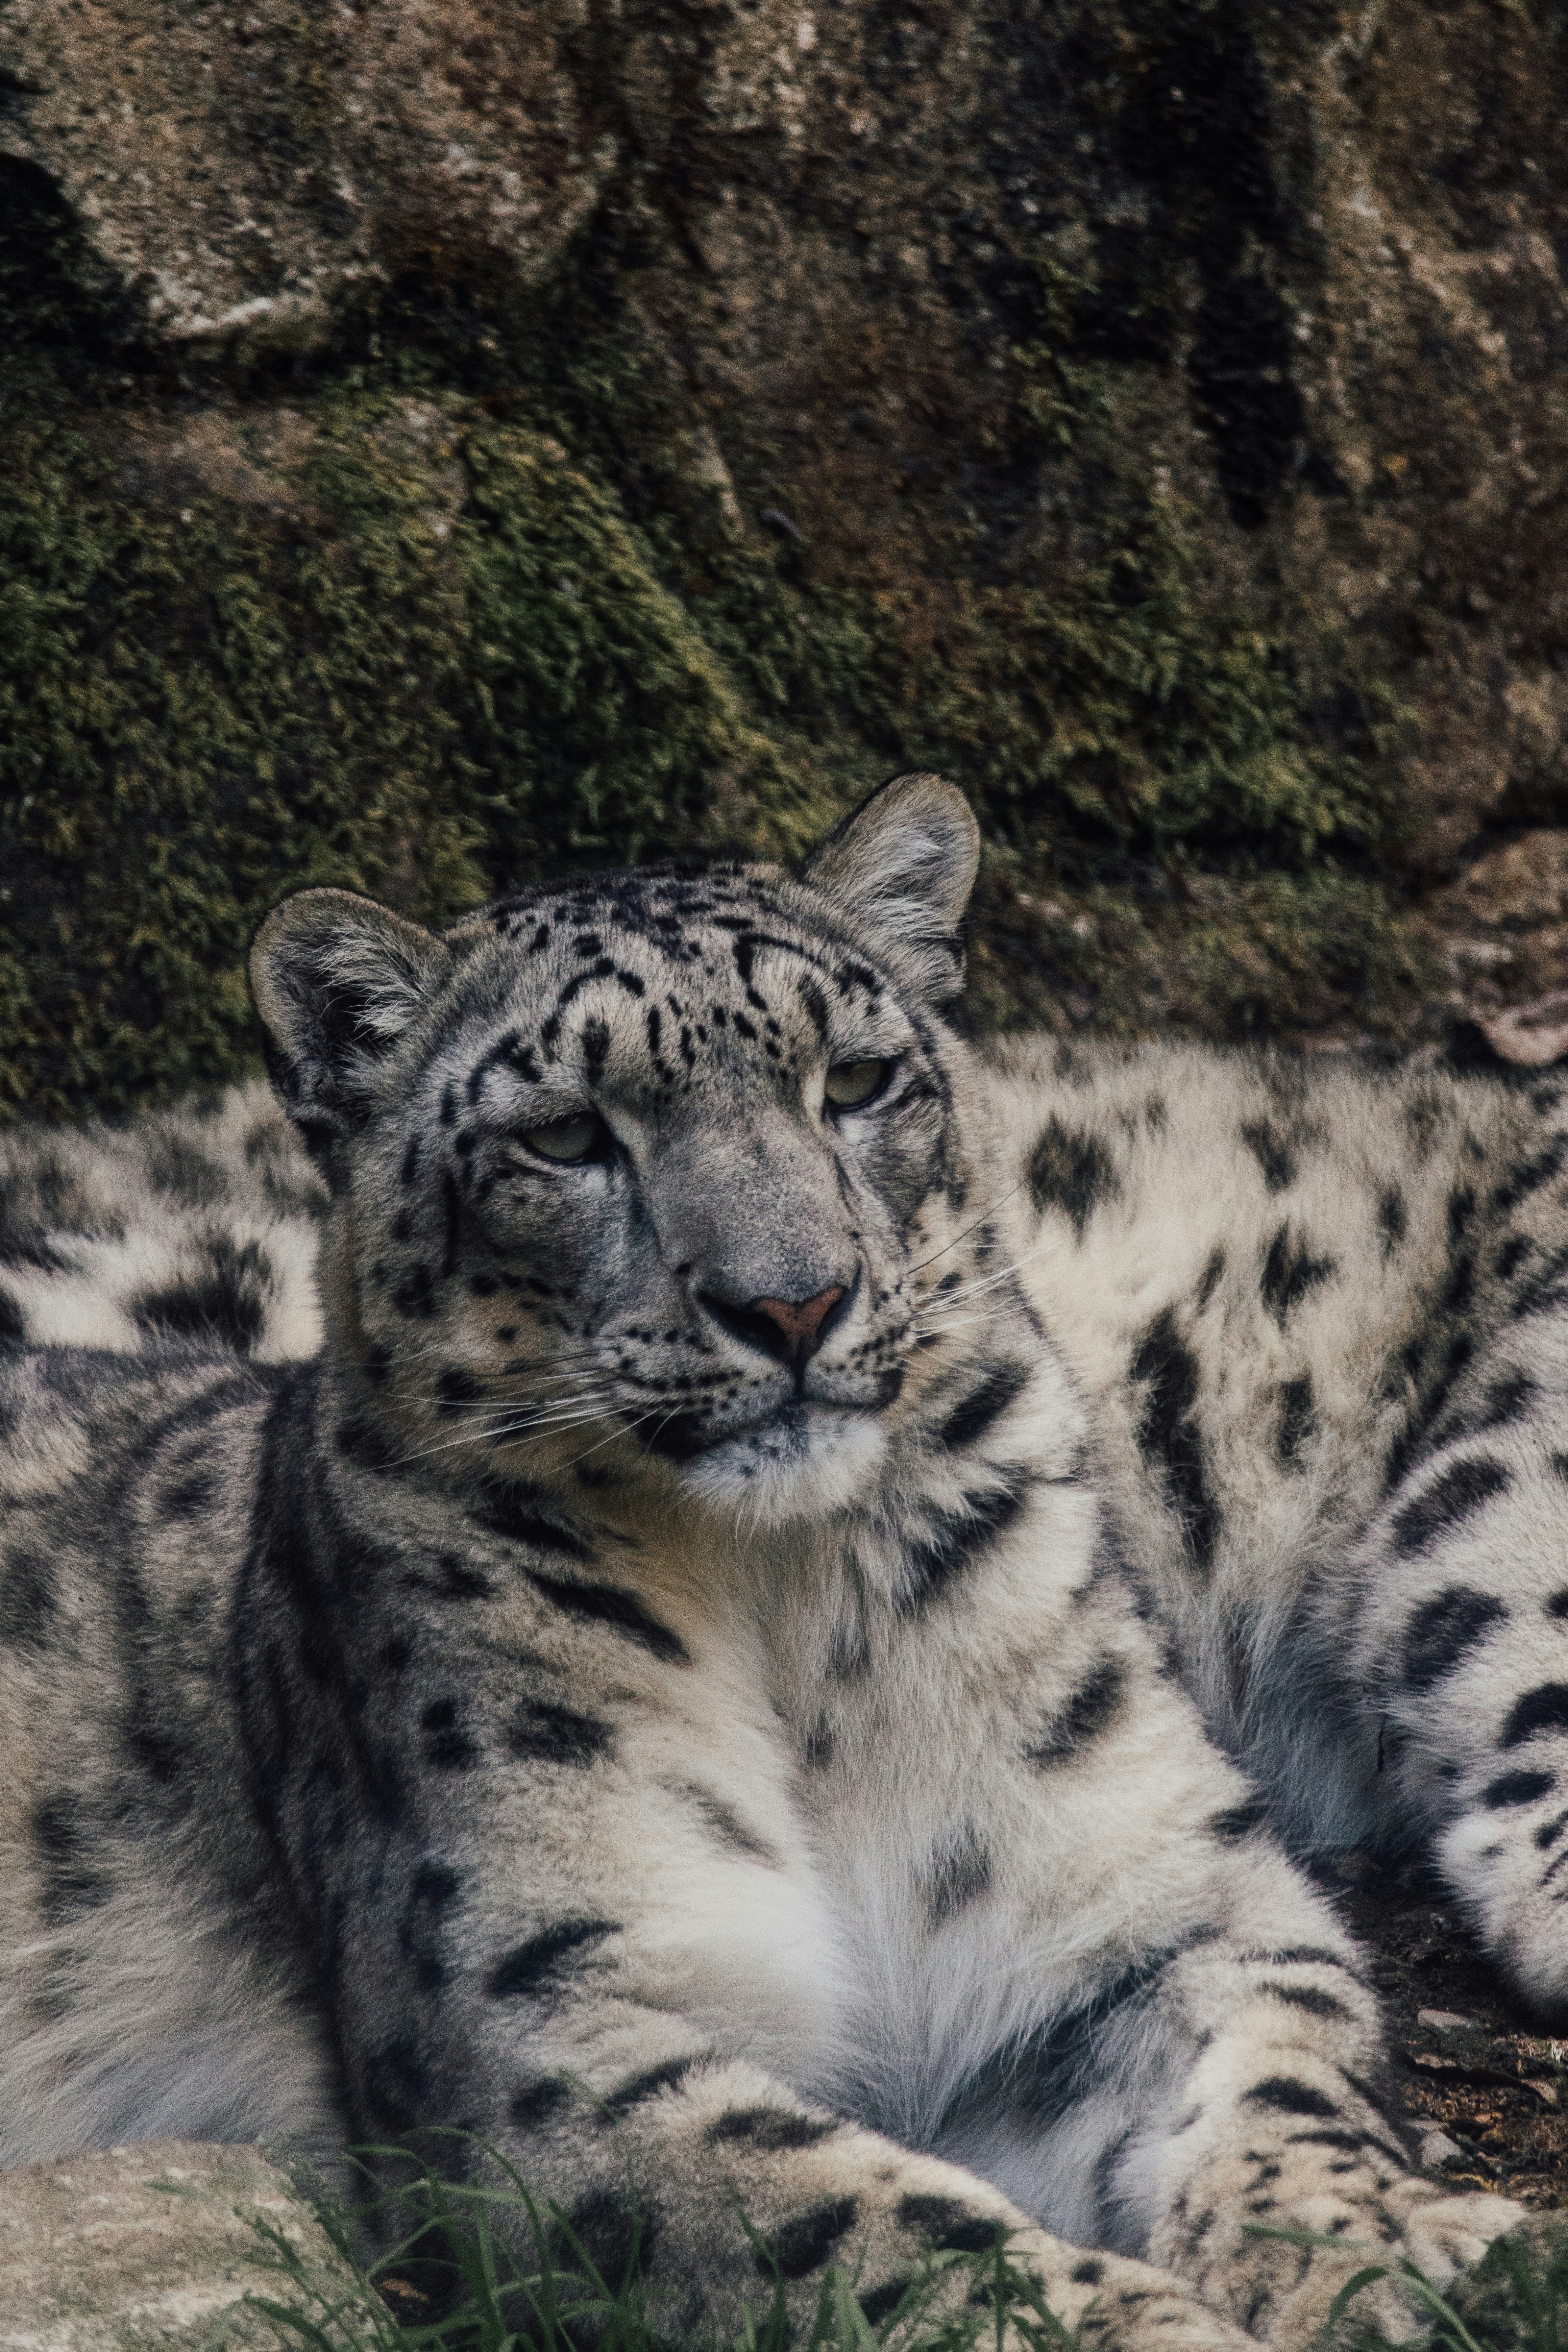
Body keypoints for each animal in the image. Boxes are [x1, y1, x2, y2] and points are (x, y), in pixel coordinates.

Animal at [1, 771, 1552, 2348]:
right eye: (567, 1136)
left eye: (854, 1082)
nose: (792, 1301)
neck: (799, 1612)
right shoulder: (552, 2025)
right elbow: (879, 2226)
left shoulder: (1148, 1905)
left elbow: (1278, 2071)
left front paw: (1403, 2247)